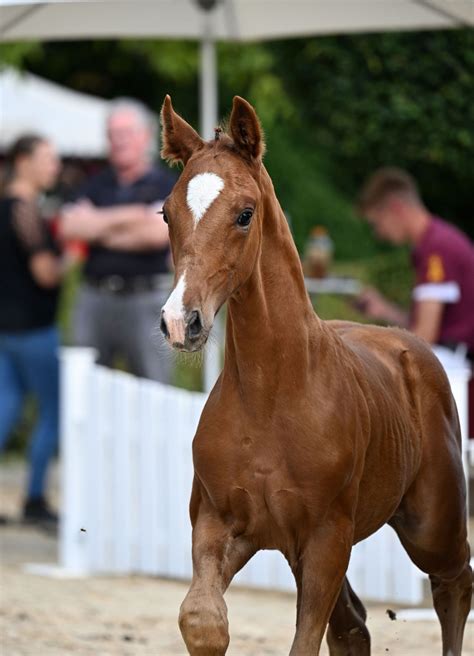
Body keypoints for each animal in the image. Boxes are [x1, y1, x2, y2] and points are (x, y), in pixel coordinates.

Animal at [158, 94, 472, 655]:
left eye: (245, 214)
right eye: (167, 213)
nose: (181, 321)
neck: (273, 394)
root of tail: (412, 345)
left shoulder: (327, 537)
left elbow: (304, 641)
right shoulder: (222, 523)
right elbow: (202, 620)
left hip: (430, 526)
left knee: (454, 584)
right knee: (354, 627)